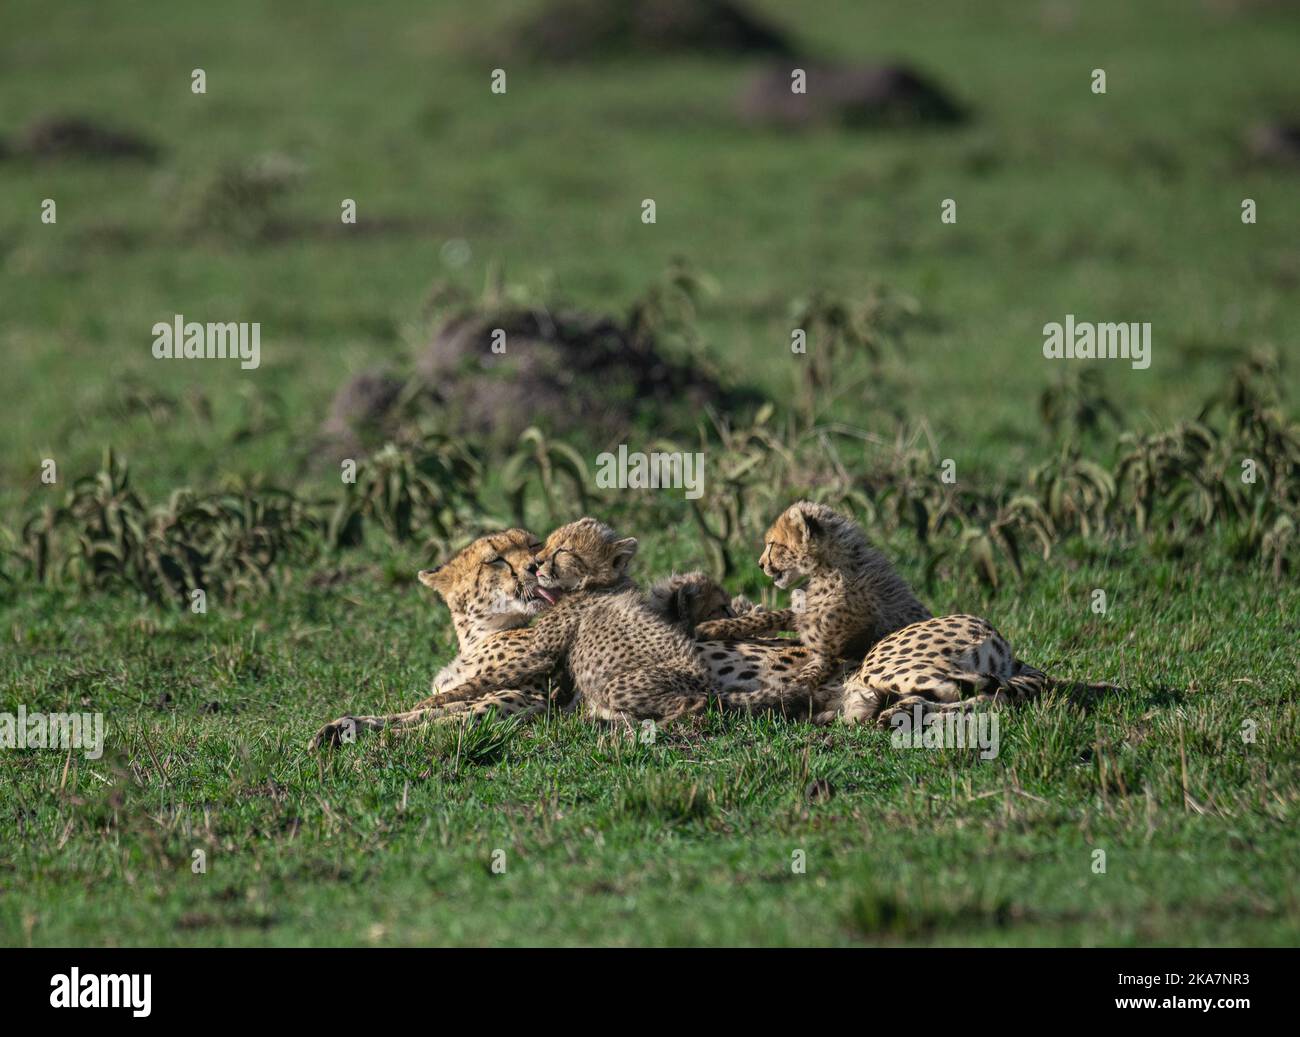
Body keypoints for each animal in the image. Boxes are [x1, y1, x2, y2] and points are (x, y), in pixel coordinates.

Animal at [308, 528, 567, 749]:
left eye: (533, 545)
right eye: (496, 560)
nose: (535, 566)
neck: (476, 638)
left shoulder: (525, 697)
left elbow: (450, 720)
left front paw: (394, 739)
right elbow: (421, 712)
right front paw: (345, 726)